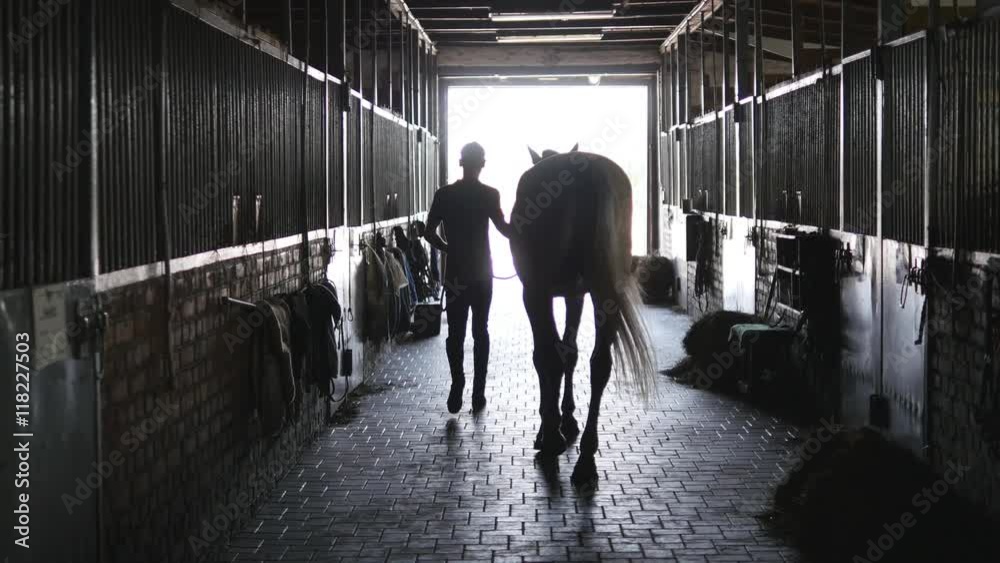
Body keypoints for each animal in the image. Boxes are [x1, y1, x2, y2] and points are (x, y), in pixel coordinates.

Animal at [509, 145, 656, 488]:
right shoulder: (575, 295)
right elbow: (570, 352)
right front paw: (568, 418)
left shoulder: (536, 294)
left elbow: (548, 356)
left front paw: (550, 427)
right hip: (605, 292)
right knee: (600, 363)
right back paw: (586, 458)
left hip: (538, 292)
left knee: (549, 356)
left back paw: (552, 440)